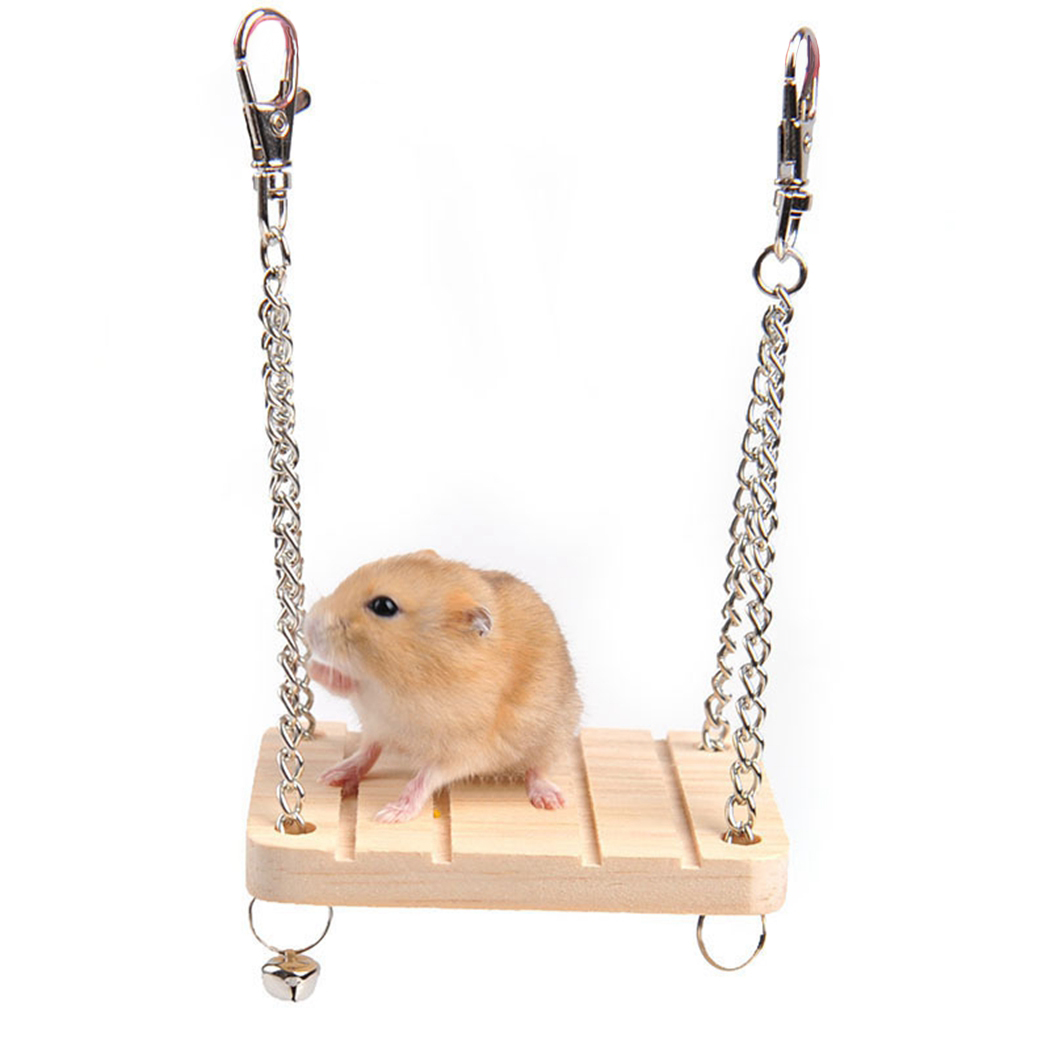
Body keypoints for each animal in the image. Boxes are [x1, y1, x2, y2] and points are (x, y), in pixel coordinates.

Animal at [304, 550, 583, 823]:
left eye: (383, 606)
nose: (307, 624)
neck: (400, 680)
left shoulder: (463, 751)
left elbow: (424, 779)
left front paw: (389, 815)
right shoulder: (371, 703)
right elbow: (346, 687)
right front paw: (311, 665)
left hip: (553, 737)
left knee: (538, 769)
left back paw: (550, 801)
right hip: (377, 728)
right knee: (367, 751)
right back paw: (331, 776)